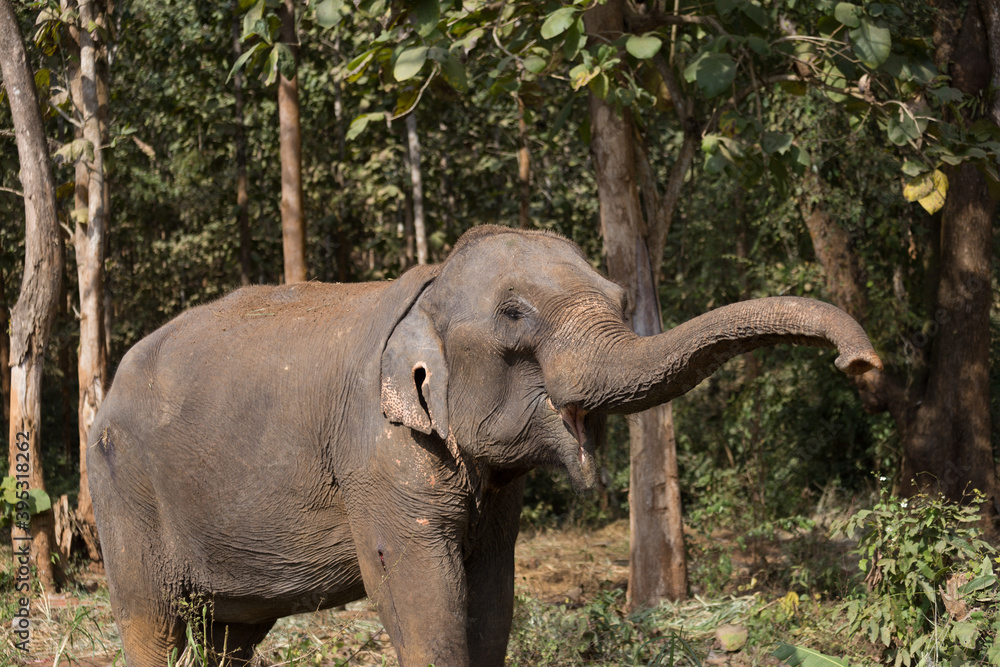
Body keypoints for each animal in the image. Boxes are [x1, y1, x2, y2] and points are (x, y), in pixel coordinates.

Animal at [88, 225, 881, 666]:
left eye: (620, 299)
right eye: (515, 316)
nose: (864, 366)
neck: (425, 287)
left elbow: (491, 592)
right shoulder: (377, 458)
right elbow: (418, 589)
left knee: (230, 636)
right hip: (124, 497)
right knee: (152, 622)